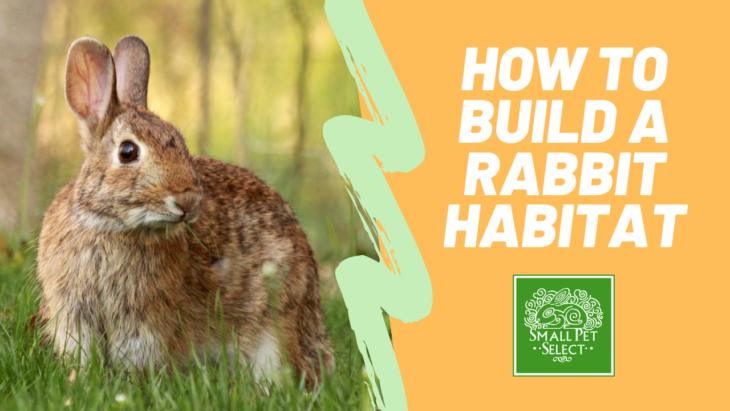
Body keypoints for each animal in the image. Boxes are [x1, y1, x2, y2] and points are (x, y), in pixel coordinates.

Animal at [36, 35, 333, 388]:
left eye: (180, 141)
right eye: (127, 151)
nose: (188, 199)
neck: (109, 226)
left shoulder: (144, 322)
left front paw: (132, 386)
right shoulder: (74, 314)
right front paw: (79, 381)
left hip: (273, 326)